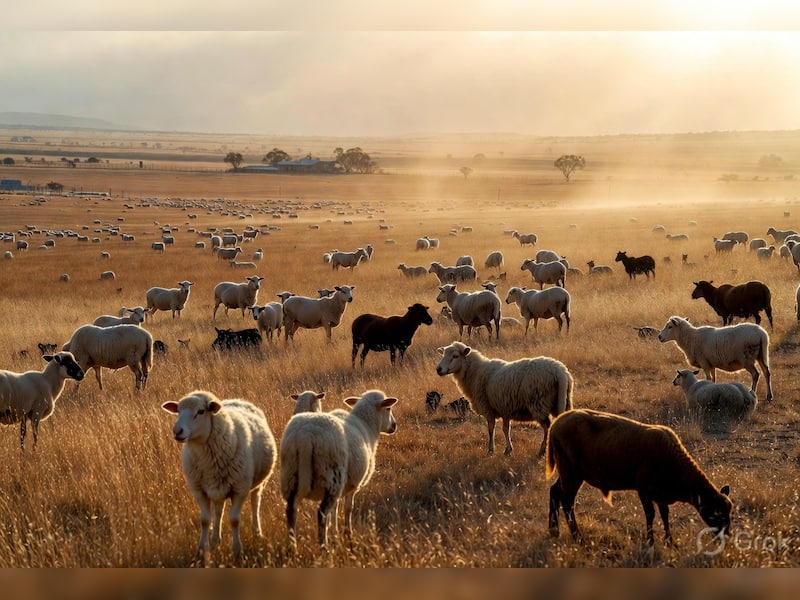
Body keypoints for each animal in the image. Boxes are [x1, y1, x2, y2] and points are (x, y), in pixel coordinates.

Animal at [162, 390, 277, 563]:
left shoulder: (240, 489)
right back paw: (215, 540)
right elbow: (205, 520)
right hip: (217, 486)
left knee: (255, 502)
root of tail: (238, 399)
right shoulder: (199, 489)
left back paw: (257, 532)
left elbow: (234, 520)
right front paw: (202, 550)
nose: (177, 431)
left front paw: (237, 551)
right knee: (218, 510)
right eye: (178, 411)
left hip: (258, 482)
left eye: (201, 411)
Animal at [280, 389, 398, 547]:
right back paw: (324, 546)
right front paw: (347, 534)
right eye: (389, 408)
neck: (367, 425)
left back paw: (292, 547)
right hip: (332, 478)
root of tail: (306, 436)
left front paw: (334, 532)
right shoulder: (354, 484)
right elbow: (348, 508)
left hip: (290, 474)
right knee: (322, 514)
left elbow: (335, 509)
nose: (394, 426)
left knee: (291, 511)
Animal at [436, 341, 573, 456]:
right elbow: (506, 429)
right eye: (443, 354)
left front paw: (490, 450)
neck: (475, 373)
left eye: (455, 356)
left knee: (547, 427)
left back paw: (542, 451)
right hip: (562, 401)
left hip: (538, 402)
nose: (438, 369)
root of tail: (559, 372)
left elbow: (491, 429)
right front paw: (508, 449)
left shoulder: (488, 408)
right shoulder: (505, 408)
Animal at [546, 408, 732, 546]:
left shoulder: (661, 494)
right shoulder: (644, 490)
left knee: (554, 492)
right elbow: (650, 515)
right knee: (567, 502)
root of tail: (556, 424)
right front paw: (650, 542)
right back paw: (578, 537)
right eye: (717, 512)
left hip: (568, 472)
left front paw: (669, 541)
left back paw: (554, 531)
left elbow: (665, 515)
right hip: (571, 472)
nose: (728, 535)